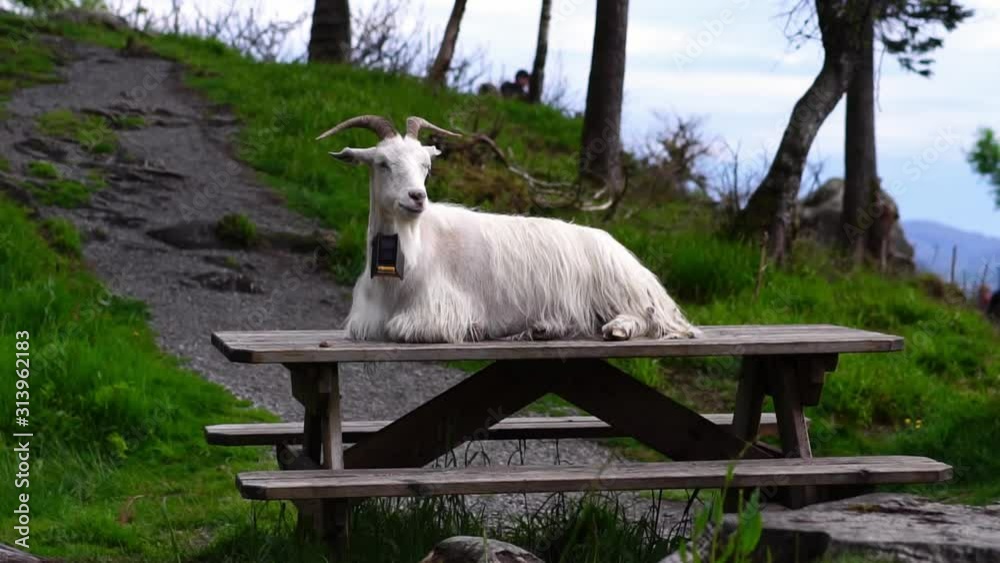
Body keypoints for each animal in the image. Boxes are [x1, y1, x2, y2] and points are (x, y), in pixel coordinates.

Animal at [317, 115, 701, 343]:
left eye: (426, 165)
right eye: (383, 163)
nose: (417, 197)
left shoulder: (440, 311)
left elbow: (401, 328)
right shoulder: (364, 322)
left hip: (622, 290)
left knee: (651, 319)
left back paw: (618, 328)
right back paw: (546, 326)